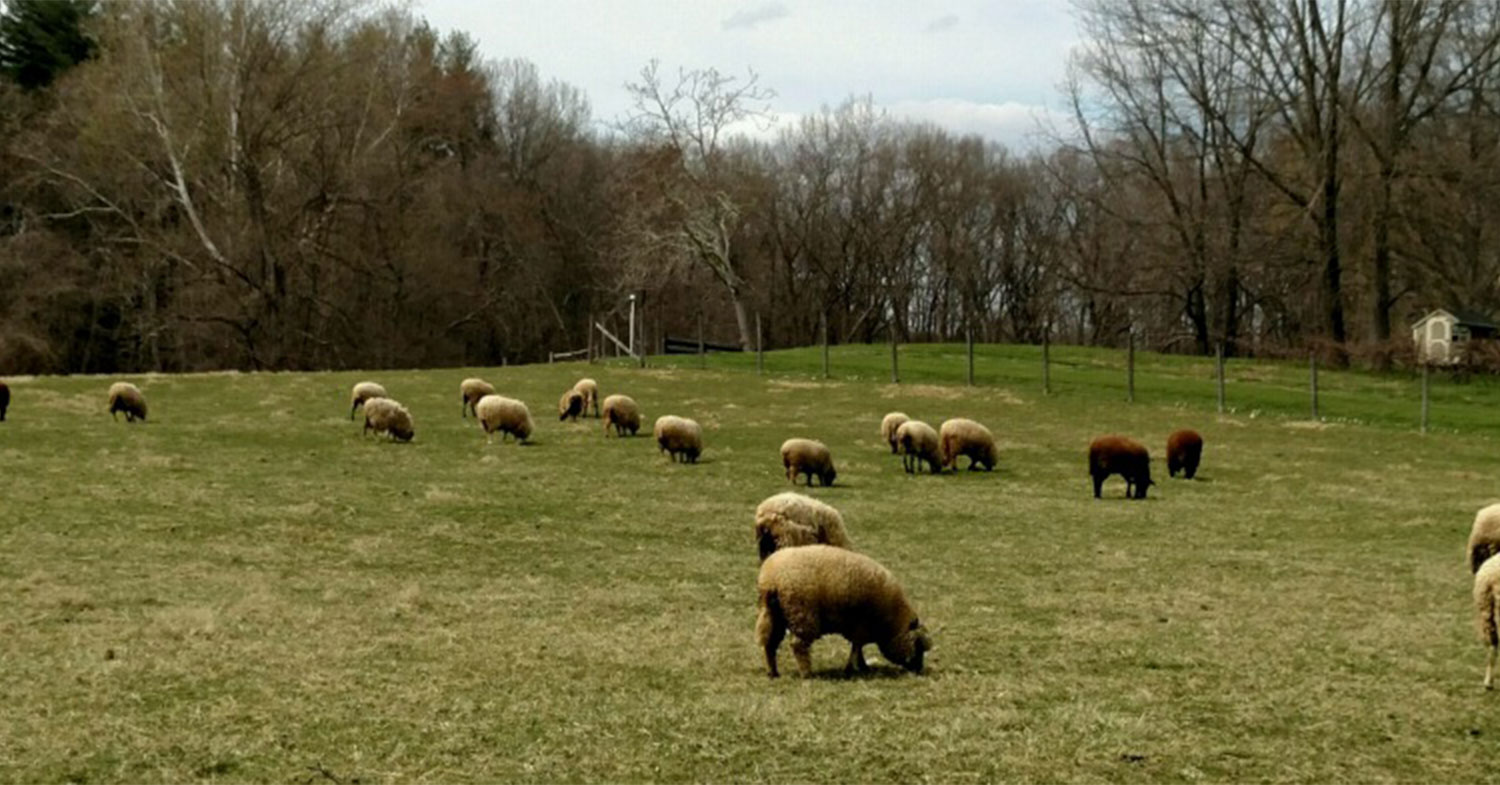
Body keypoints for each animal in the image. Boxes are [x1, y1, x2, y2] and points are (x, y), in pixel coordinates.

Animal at [756, 544, 931, 678]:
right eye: (918, 645)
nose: (919, 670)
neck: (892, 622)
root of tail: (771, 578)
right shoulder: (862, 626)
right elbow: (856, 648)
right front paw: (853, 668)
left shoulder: (858, 628)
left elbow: (857, 648)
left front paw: (861, 666)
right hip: (801, 614)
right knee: (798, 645)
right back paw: (806, 674)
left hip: (773, 614)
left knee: (769, 644)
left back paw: (773, 672)